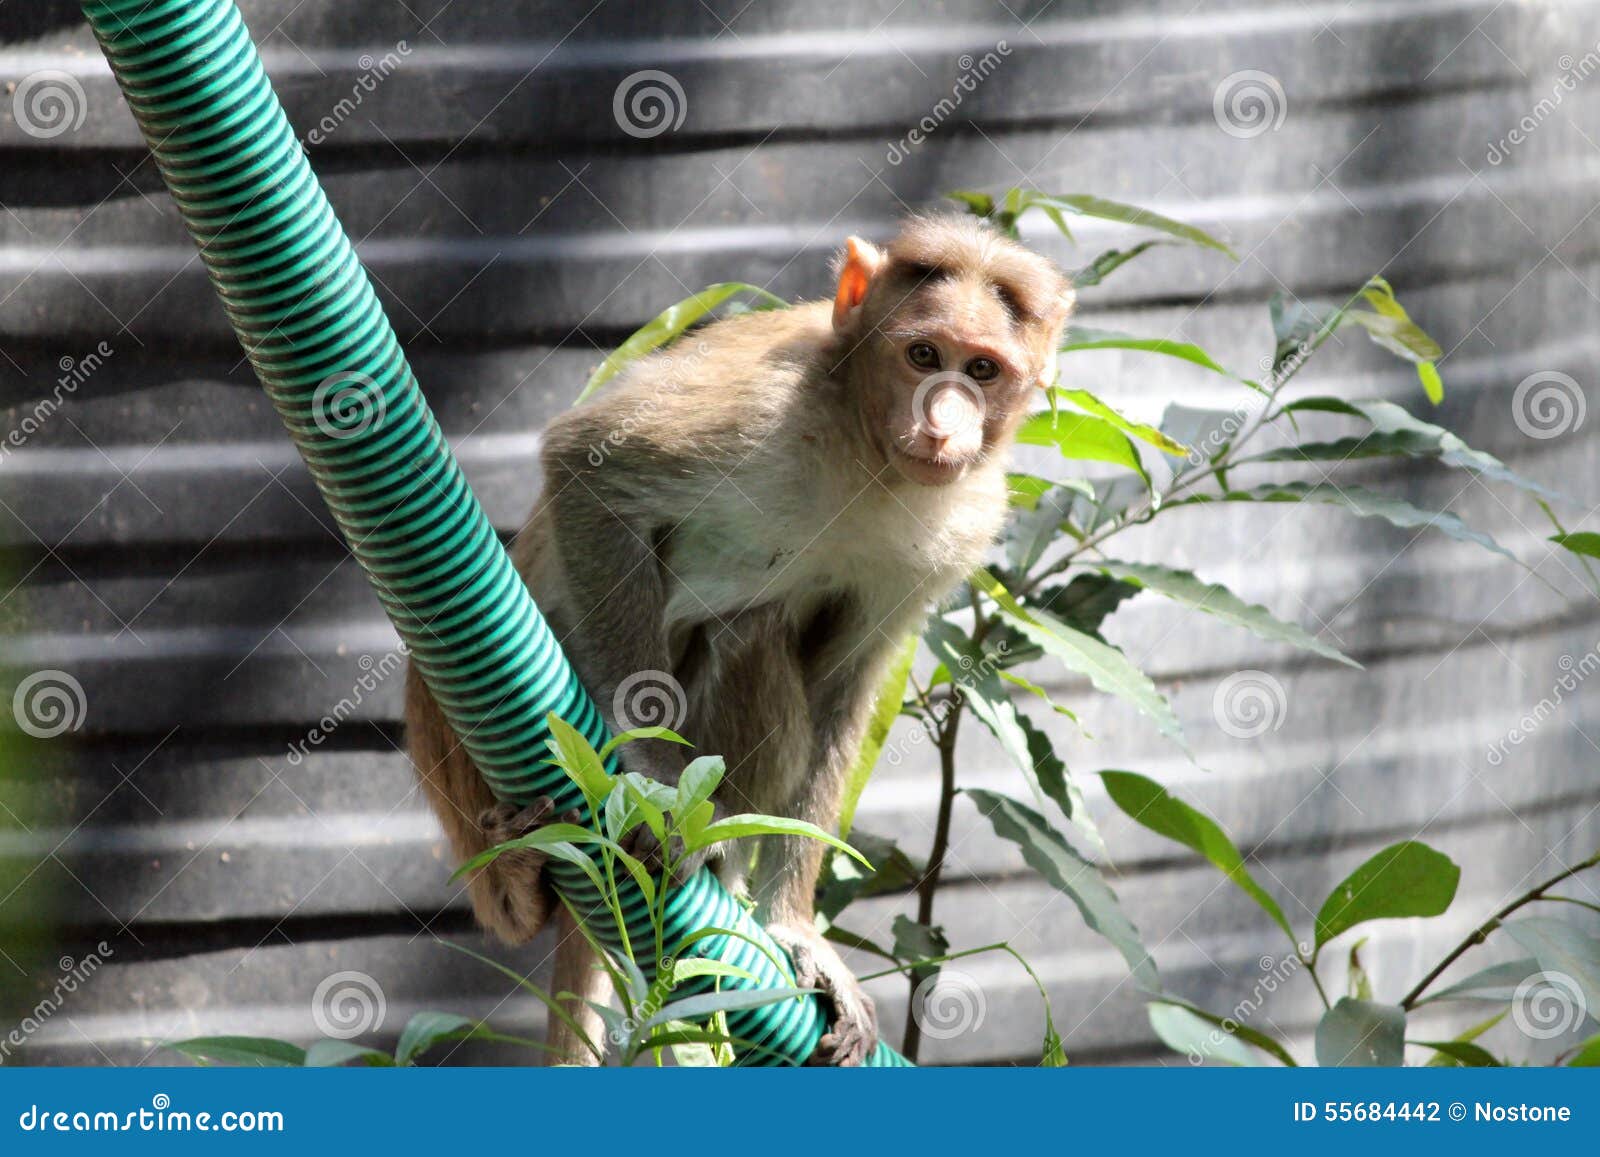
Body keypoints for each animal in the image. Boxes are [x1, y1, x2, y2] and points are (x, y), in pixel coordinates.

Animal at [404, 213, 1074, 1066]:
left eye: (983, 369)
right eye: (923, 355)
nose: (942, 421)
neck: (865, 452)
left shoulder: (957, 528)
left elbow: (846, 680)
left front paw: (796, 928)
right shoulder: (762, 407)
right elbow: (590, 466)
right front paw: (653, 776)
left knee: (755, 630)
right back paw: (519, 882)